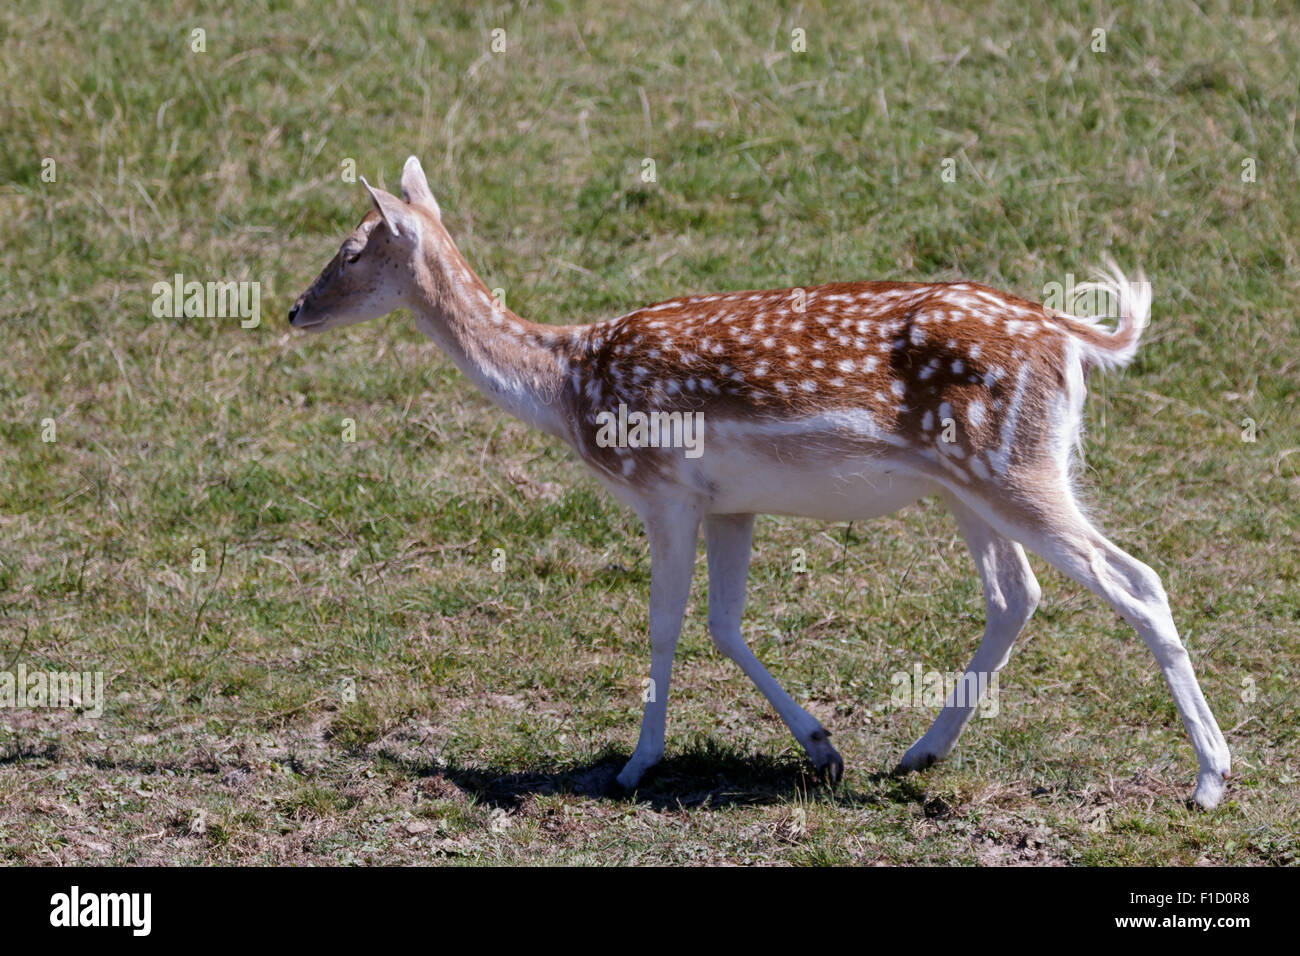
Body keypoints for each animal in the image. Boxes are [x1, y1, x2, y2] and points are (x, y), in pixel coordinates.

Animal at [288, 155, 1231, 809]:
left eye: (350, 250)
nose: (295, 309)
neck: (564, 385)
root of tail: (1076, 337)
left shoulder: (662, 488)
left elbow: (666, 623)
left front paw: (633, 767)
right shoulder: (728, 504)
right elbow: (724, 620)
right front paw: (822, 747)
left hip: (1014, 468)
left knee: (1136, 581)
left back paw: (1210, 780)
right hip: (970, 484)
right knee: (1017, 595)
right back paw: (918, 754)